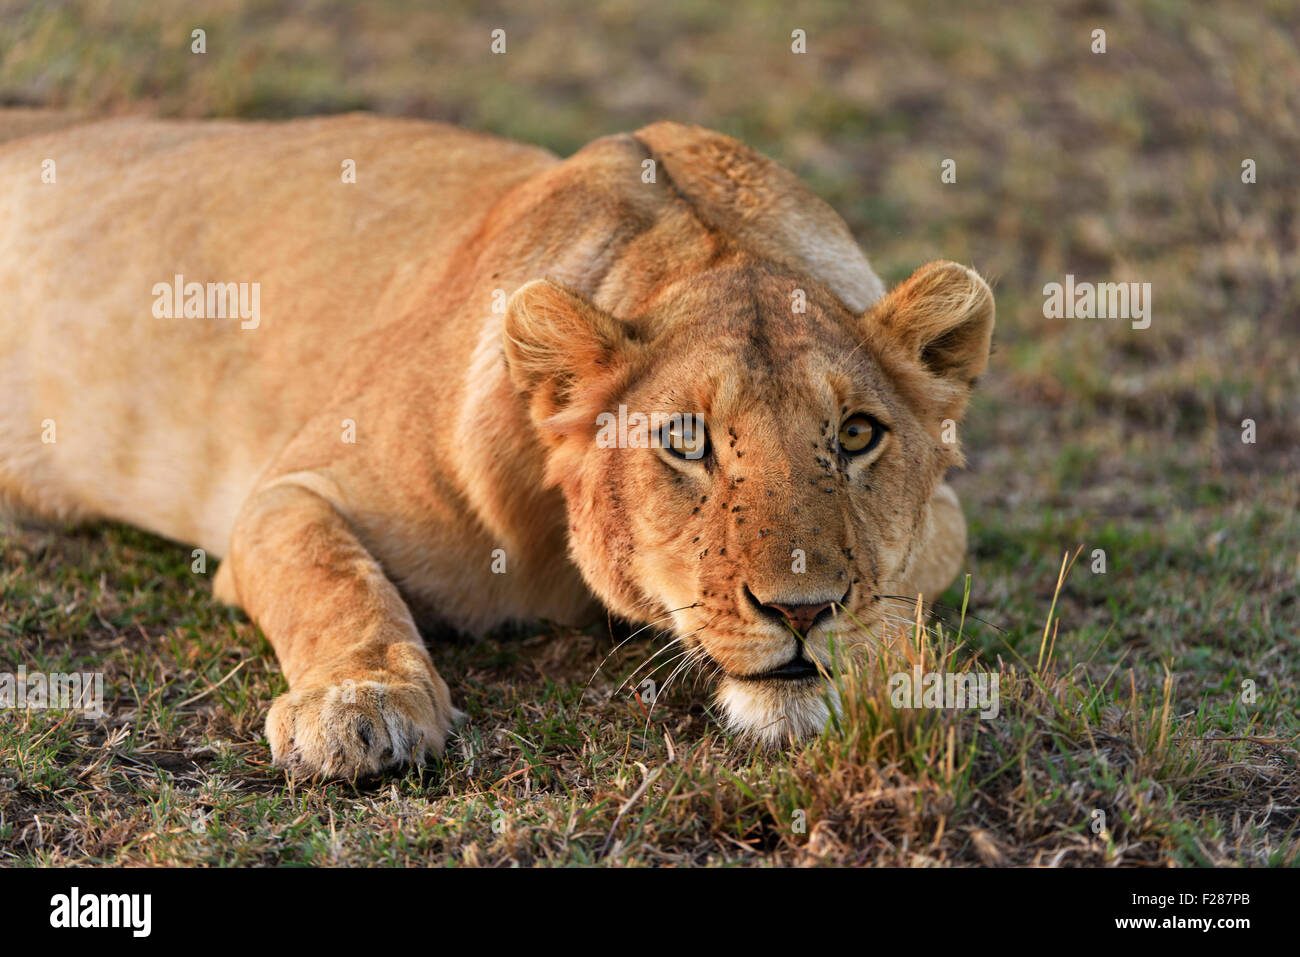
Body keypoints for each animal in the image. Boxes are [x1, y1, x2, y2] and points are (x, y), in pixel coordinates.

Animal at [0, 113, 993, 777]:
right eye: (686, 439)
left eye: (857, 435)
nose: (802, 611)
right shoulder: (291, 487)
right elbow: (329, 577)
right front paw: (361, 702)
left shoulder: (944, 513)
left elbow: (918, 568)